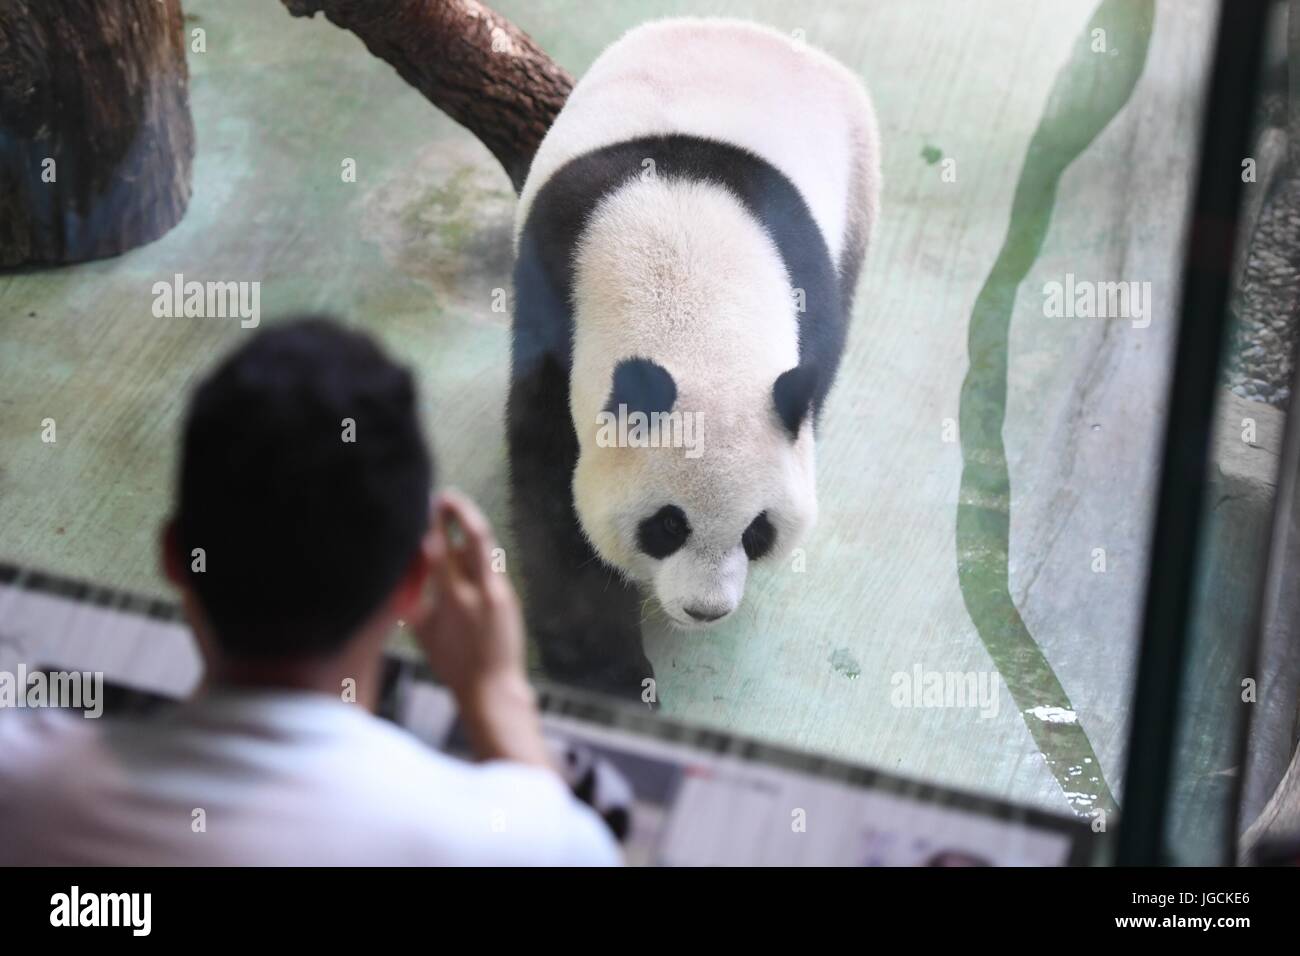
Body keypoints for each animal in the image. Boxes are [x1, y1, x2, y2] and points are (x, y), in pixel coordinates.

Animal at [508, 17, 880, 702]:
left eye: (757, 531)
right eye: (666, 526)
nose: (705, 611)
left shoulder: (806, 282)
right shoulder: (552, 293)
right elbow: (550, 488)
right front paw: (609, 672)